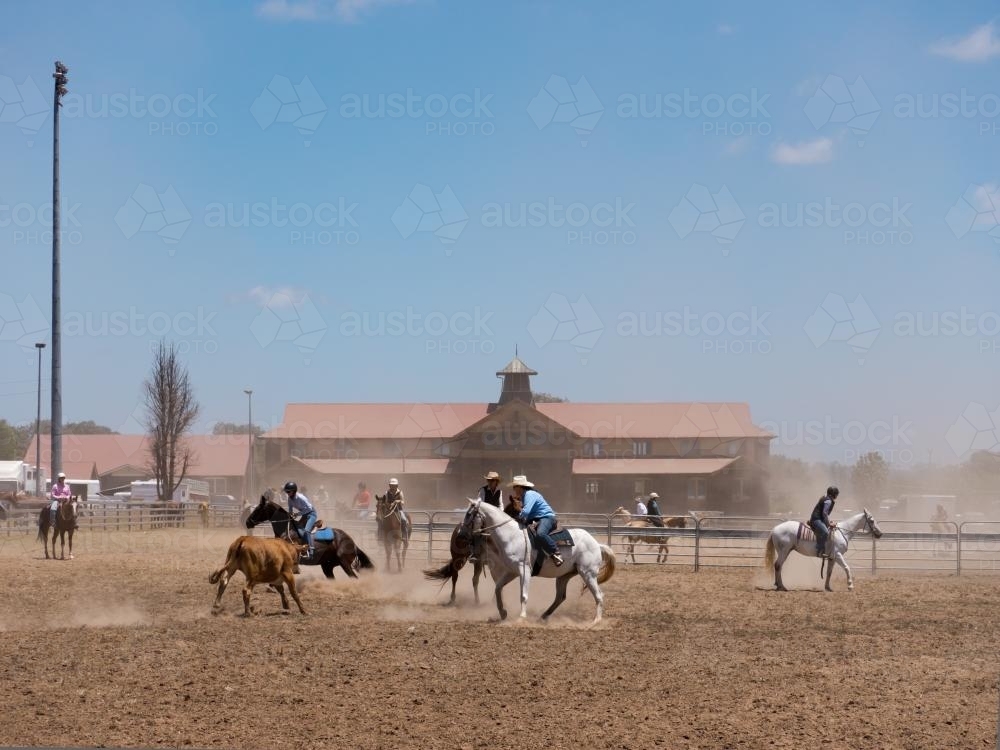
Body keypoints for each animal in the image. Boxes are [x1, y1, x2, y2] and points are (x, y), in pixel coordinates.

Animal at [244, 496, 374, 579]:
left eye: (257, 509)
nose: (247, 522)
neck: (287, 529)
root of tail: (353, 544)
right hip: (327, 566)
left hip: (344, 562)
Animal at [462, 499, 616, 625]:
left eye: (469, 514)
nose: (462, 532)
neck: (512, 535)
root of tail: (597, 544)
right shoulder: (512, 571)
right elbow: (498, 588)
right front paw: (502, 613)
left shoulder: (524, 570)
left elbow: (523, 595)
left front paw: (521, 618)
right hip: (564, 576)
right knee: (560, 597)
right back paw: (543, 616)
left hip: (588, 573)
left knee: (599, 595)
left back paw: (596, 621)